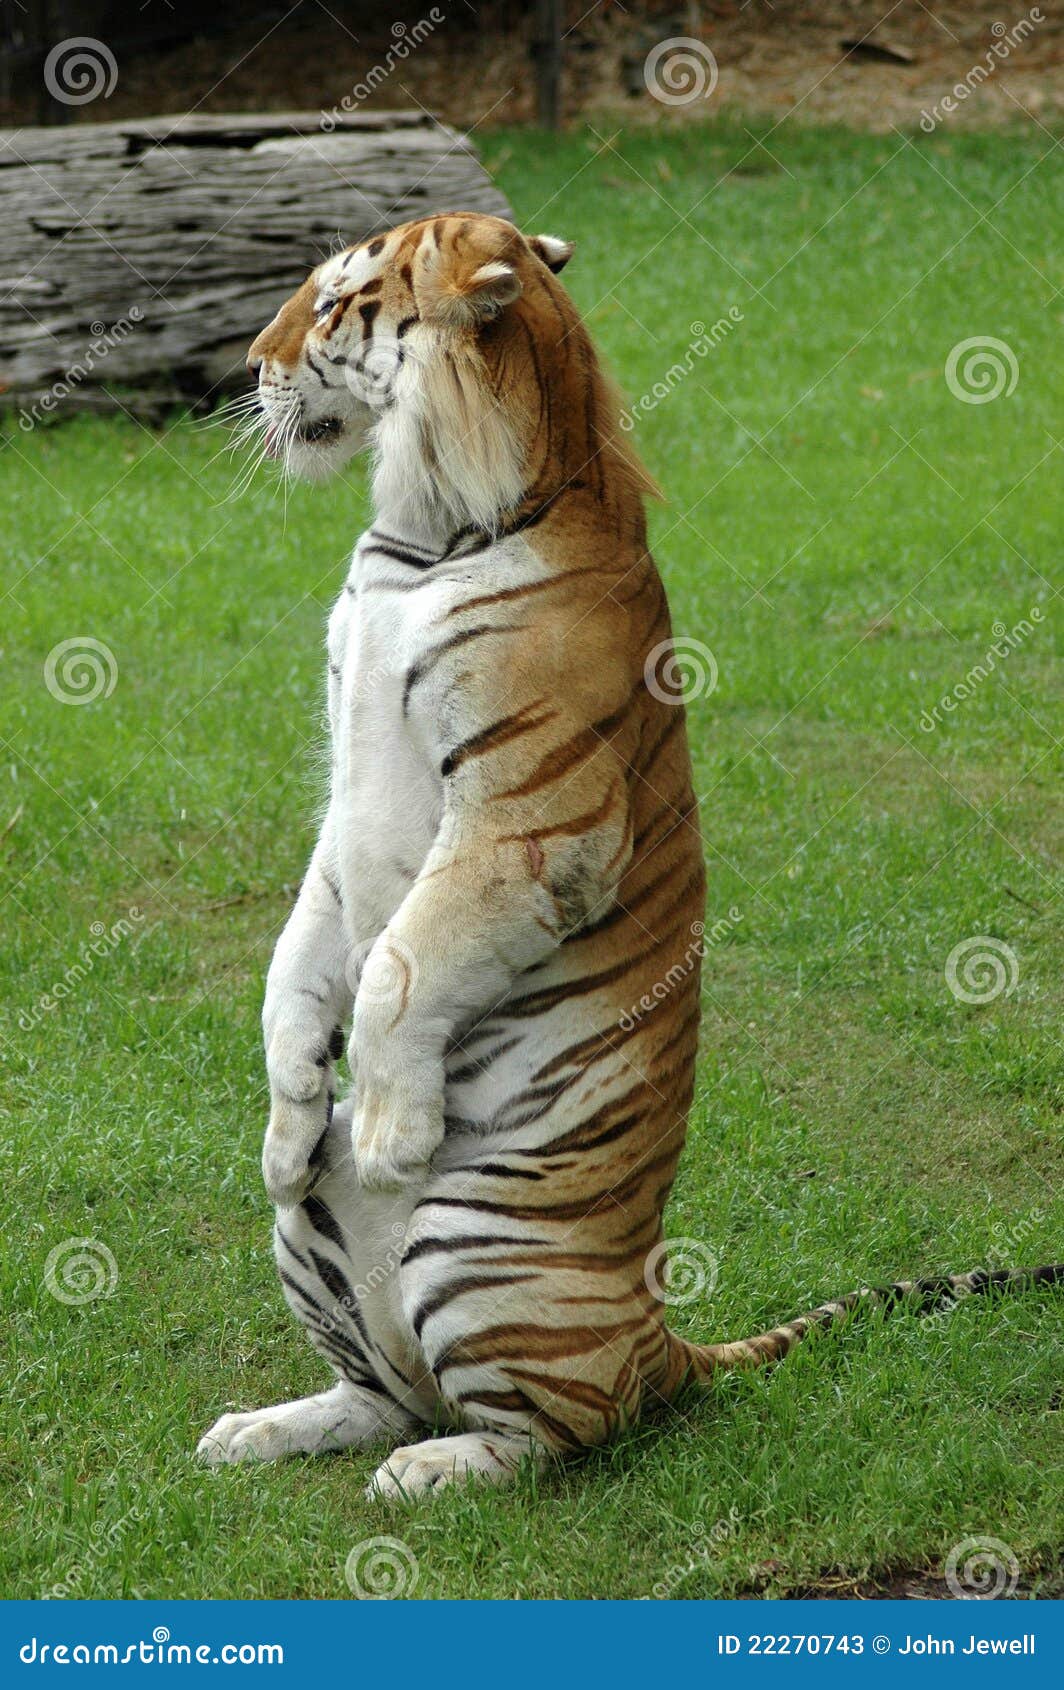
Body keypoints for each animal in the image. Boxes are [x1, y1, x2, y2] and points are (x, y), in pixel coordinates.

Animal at [197, 213, 1063, 1498]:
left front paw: (389, 1131)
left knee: (565, 1427)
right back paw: (260, 1426)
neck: (416, 532)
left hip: (478, 1252)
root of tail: (665, 1336)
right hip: (306, 1239)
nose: (246, 365)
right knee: (377, 1391)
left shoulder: (531, 825)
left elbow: (397, 964)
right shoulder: (336, 812)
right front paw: (289, 1115)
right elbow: (302, 952)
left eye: (335, 300)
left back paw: (433, 1466)